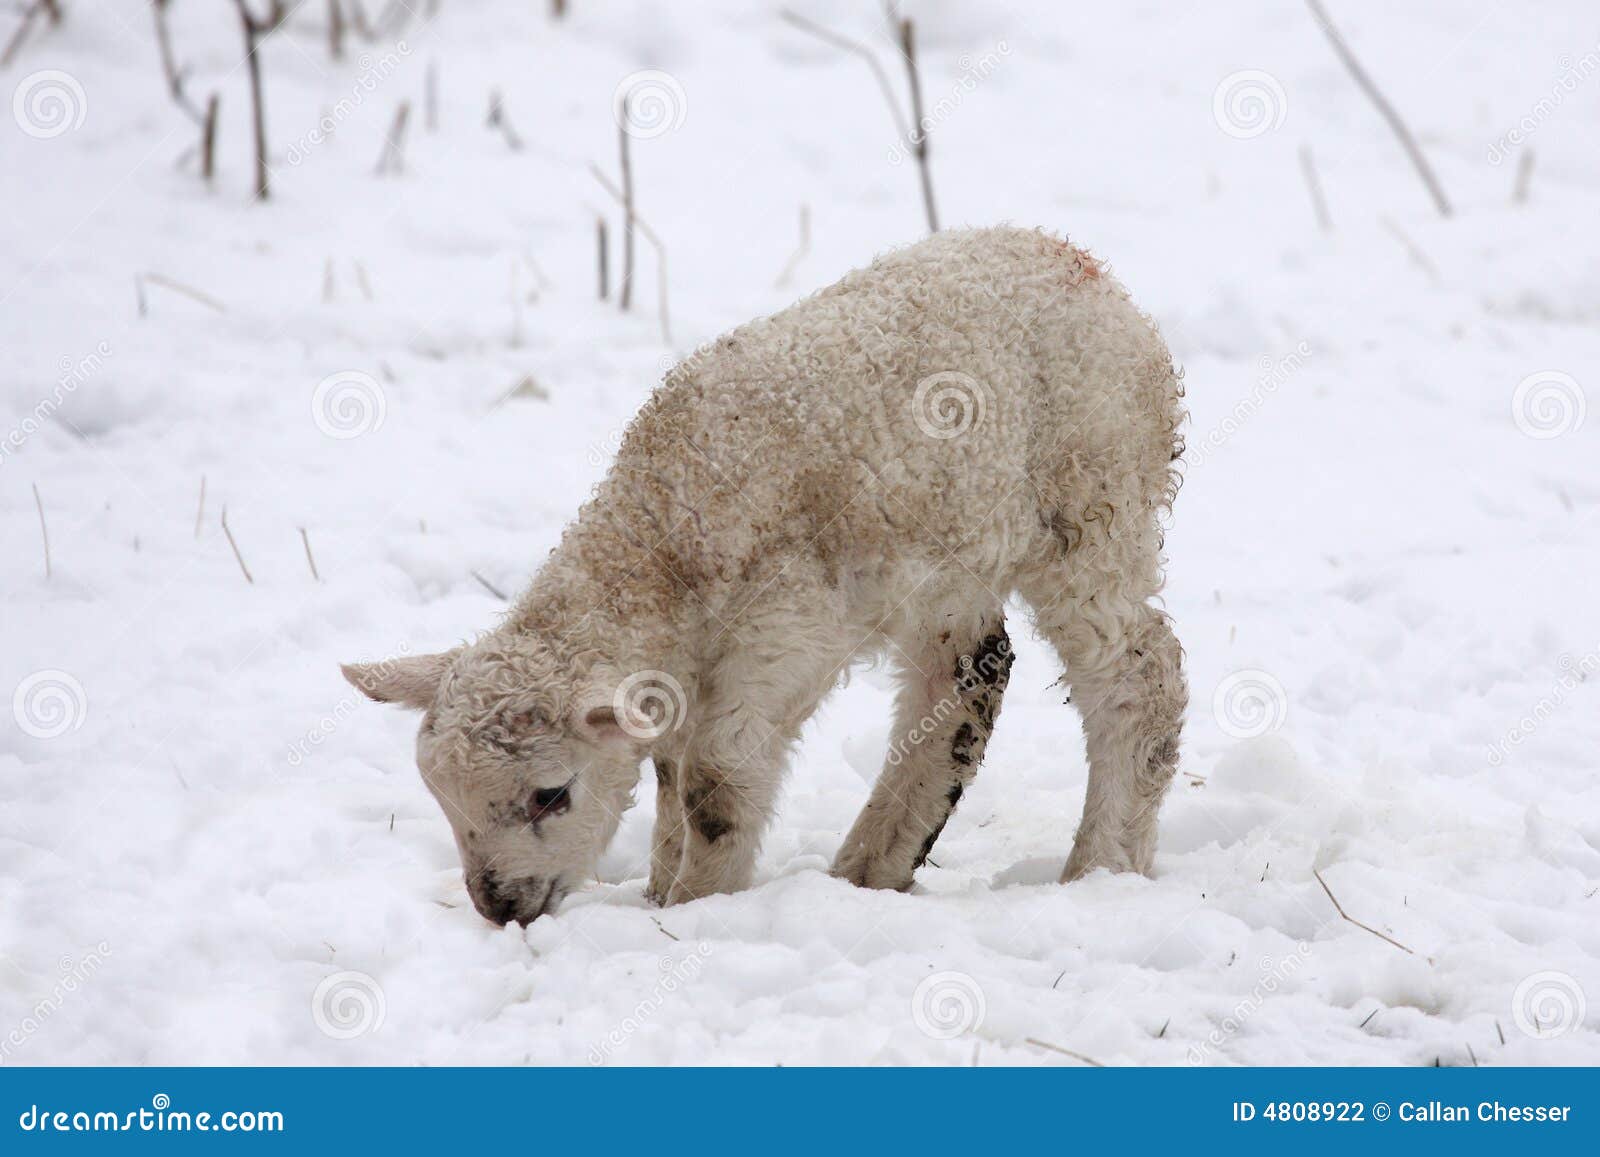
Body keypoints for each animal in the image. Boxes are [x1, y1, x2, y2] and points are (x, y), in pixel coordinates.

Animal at [343, 225, 1187, 926]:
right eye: (445, 802)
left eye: (551, 794)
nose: (499, 906)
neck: (662, 534)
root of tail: (1086, 266)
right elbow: (670, 775)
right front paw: (661, 884)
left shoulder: (780, 628)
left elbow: (713, 784)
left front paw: (693, 905)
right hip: (951, 559)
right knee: (965, 681)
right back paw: (872, 865)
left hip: (1094, 504)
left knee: (1139, 677)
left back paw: (1101, 864)